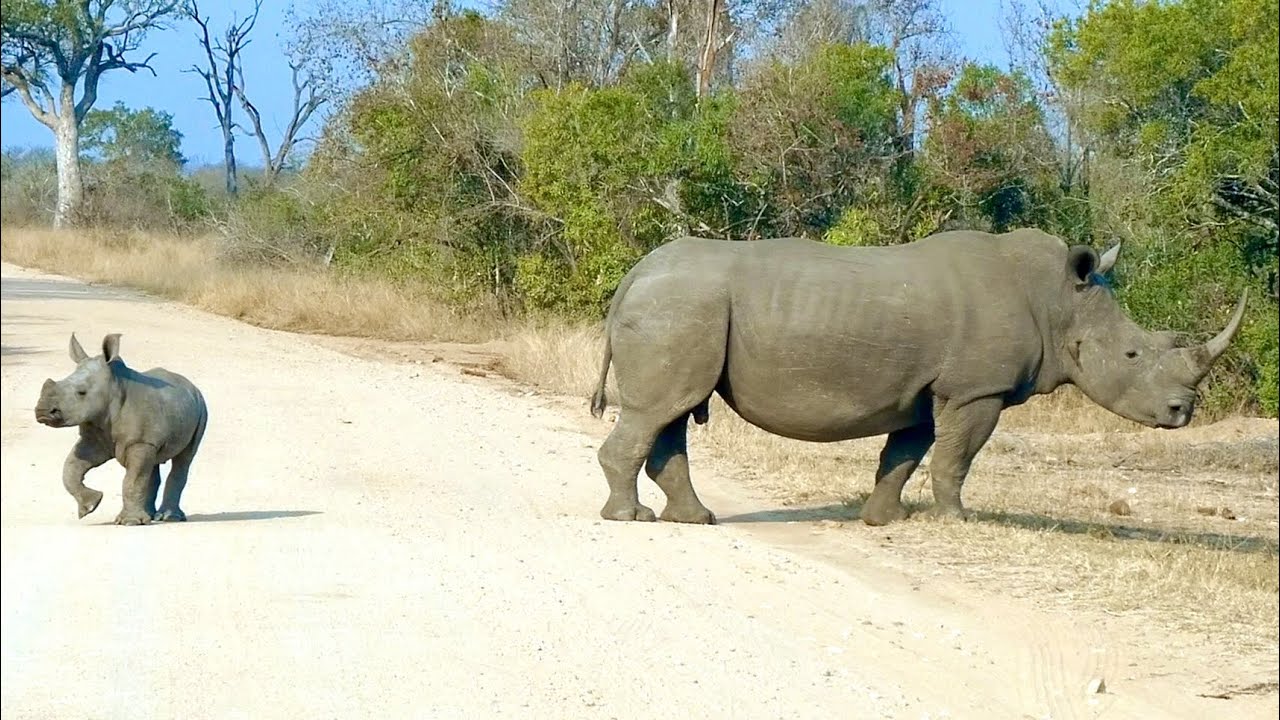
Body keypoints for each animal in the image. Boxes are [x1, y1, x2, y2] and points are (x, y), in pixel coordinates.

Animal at [34, 333, 208, 526]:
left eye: (82, 392)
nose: (42, 412)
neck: (112, 387)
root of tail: (191, 386)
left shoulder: (139, 442)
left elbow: (132, 480)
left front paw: (129, 522)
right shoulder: (95, 436)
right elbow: (70, 468)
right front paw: (91, 506)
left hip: (202, 408)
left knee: (184, 458)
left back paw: (169, 518)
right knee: (153, 463)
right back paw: (149, 516)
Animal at [588, 228, 1248, 526]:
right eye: (1133, 355)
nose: (1182, 412)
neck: (1060, 301)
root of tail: (632, 274)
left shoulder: (927, 390)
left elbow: (905, 454)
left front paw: (885, 520)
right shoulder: (976, 389)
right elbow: (956, 457)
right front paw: (957, 519)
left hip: (682, 309)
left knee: (670, 413)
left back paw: (693, 520)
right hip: (679, 308)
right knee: (657, 411)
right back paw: (629, 519)